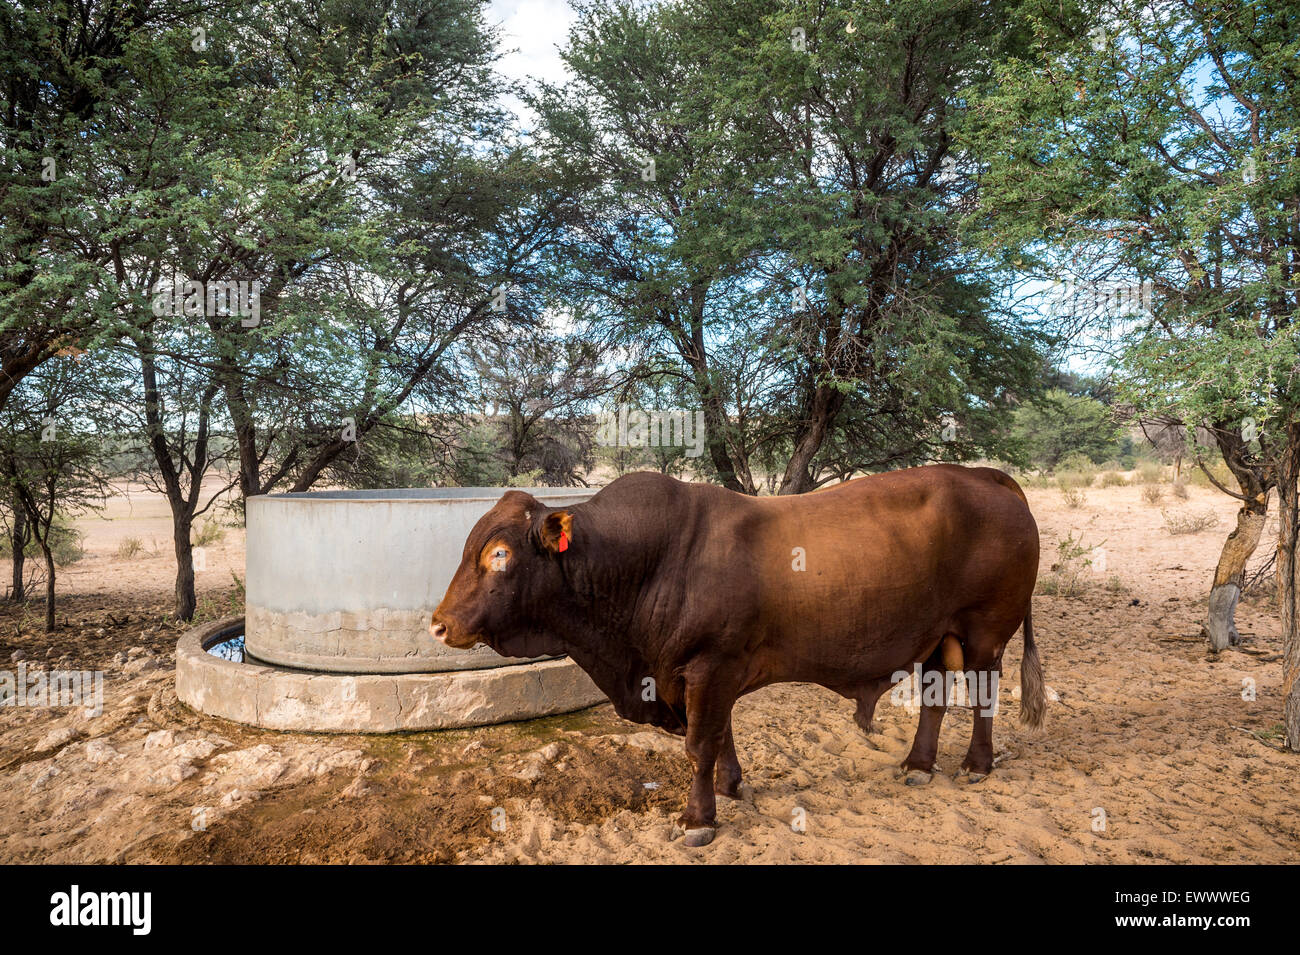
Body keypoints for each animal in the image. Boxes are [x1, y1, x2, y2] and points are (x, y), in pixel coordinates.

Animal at [429, 465, 1044, 847]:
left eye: (500, 554)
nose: (440, 624)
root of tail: (985, 475)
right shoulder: (700, 676)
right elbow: (721, 733)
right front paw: (732, 786)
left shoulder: (709, 666)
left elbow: (701, 743)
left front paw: (698, 818)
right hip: (939, 638)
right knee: (935, 700)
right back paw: (917, 765)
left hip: (985, 633)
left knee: (984, 696)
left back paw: (976, 764)